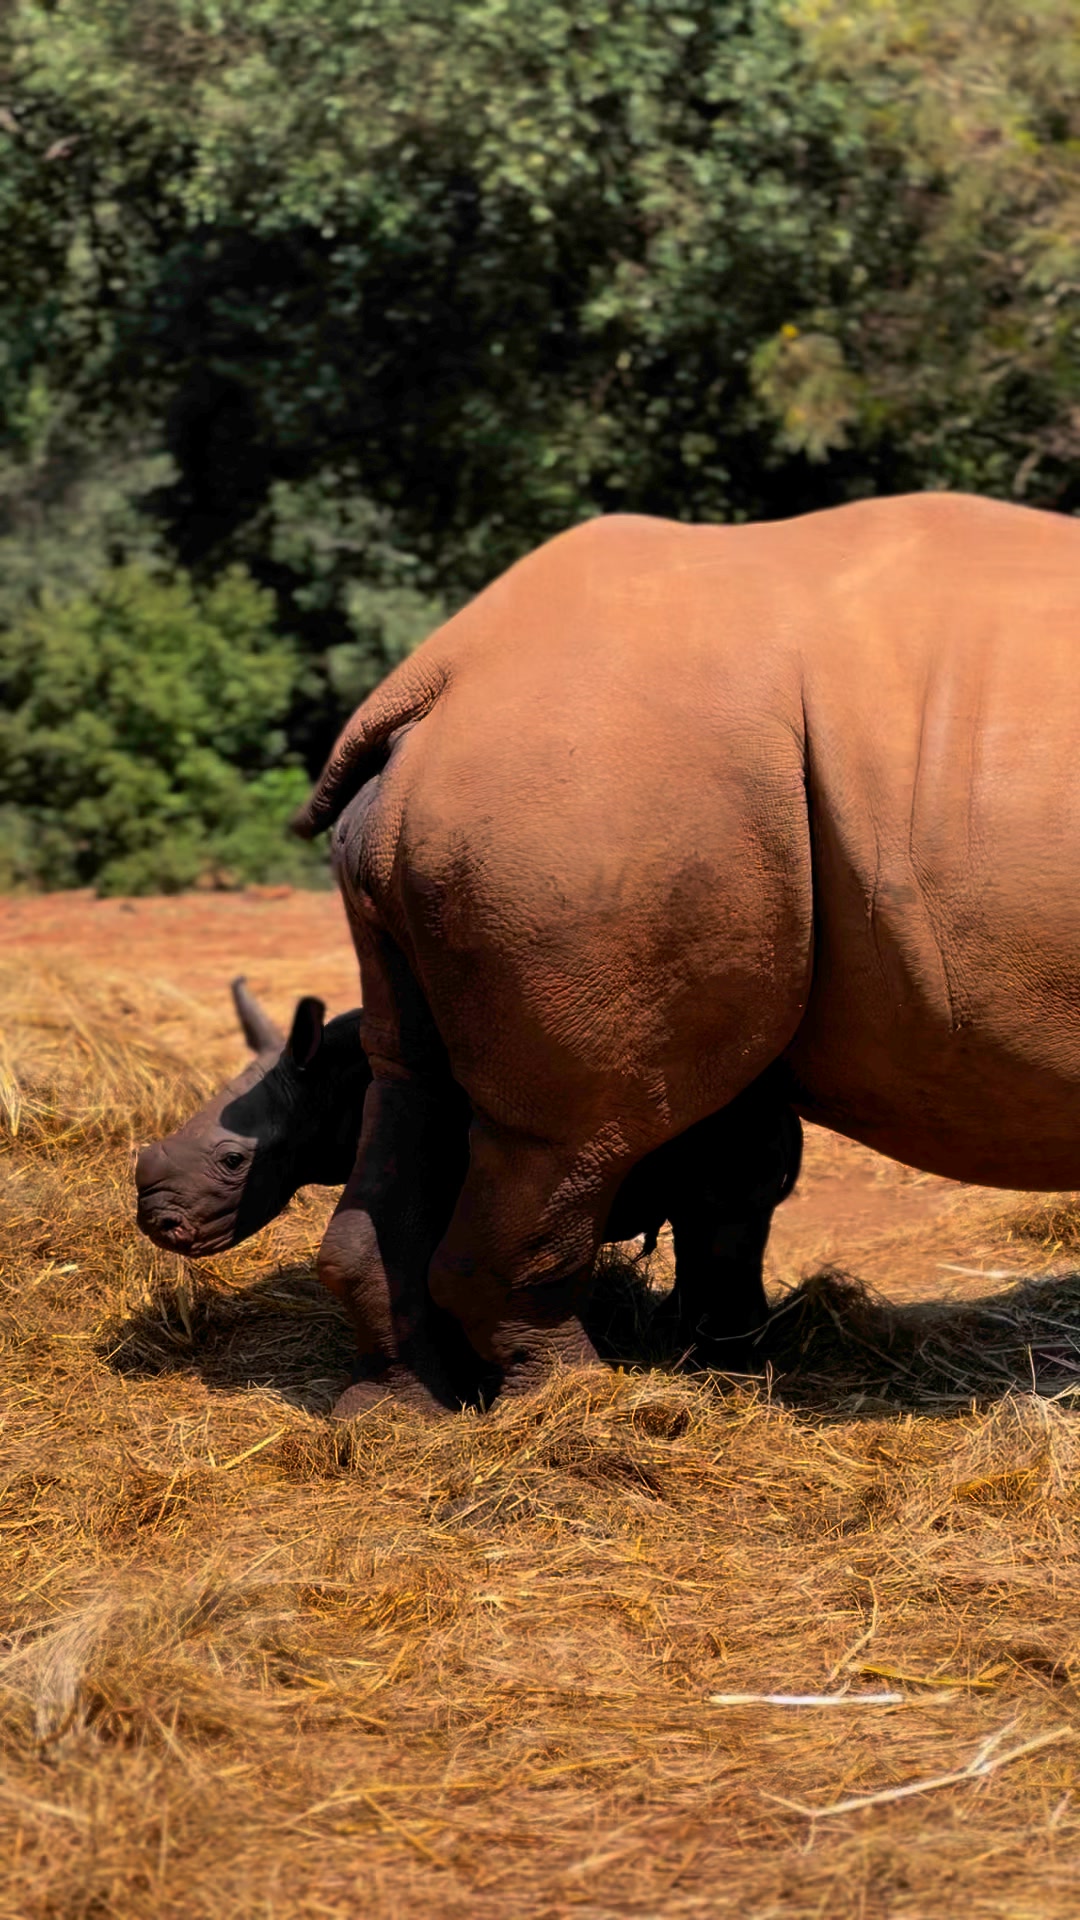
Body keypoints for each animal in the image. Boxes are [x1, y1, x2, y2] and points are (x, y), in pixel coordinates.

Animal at [290, 492, 1080, 1410]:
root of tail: (435, 679)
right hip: (595, 789)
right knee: (572, 1133)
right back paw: (589, 1406)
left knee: (415, 1080)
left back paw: (396, 1416)